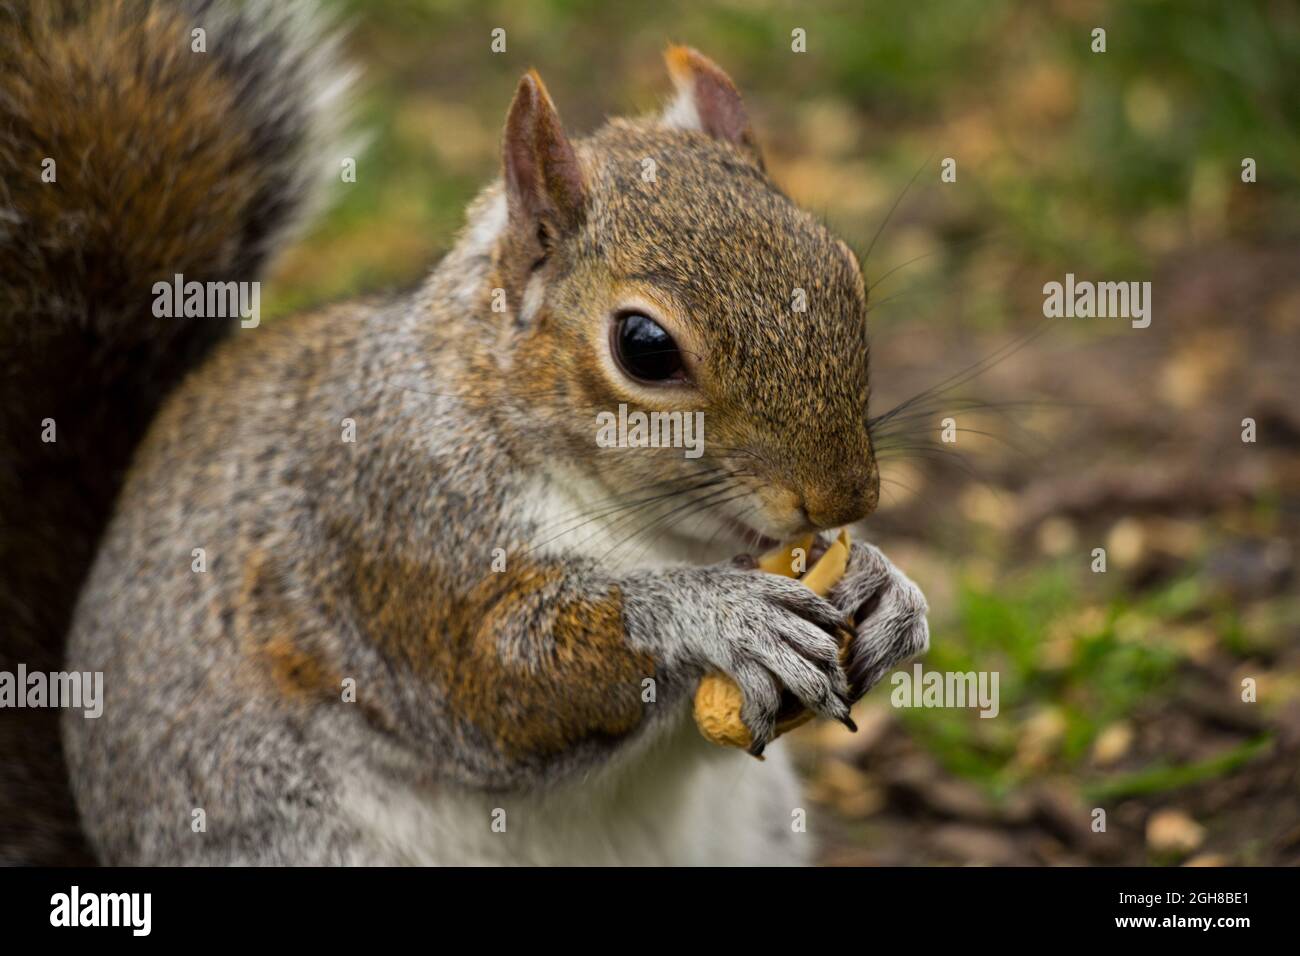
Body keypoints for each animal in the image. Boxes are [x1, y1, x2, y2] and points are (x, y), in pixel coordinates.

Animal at [2, 0, 929, 865]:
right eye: (644, 347)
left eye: (844, 270)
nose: (844, 496)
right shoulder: (392, 528)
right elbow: (498, 677)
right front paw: (714, 614)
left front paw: (886, 587)